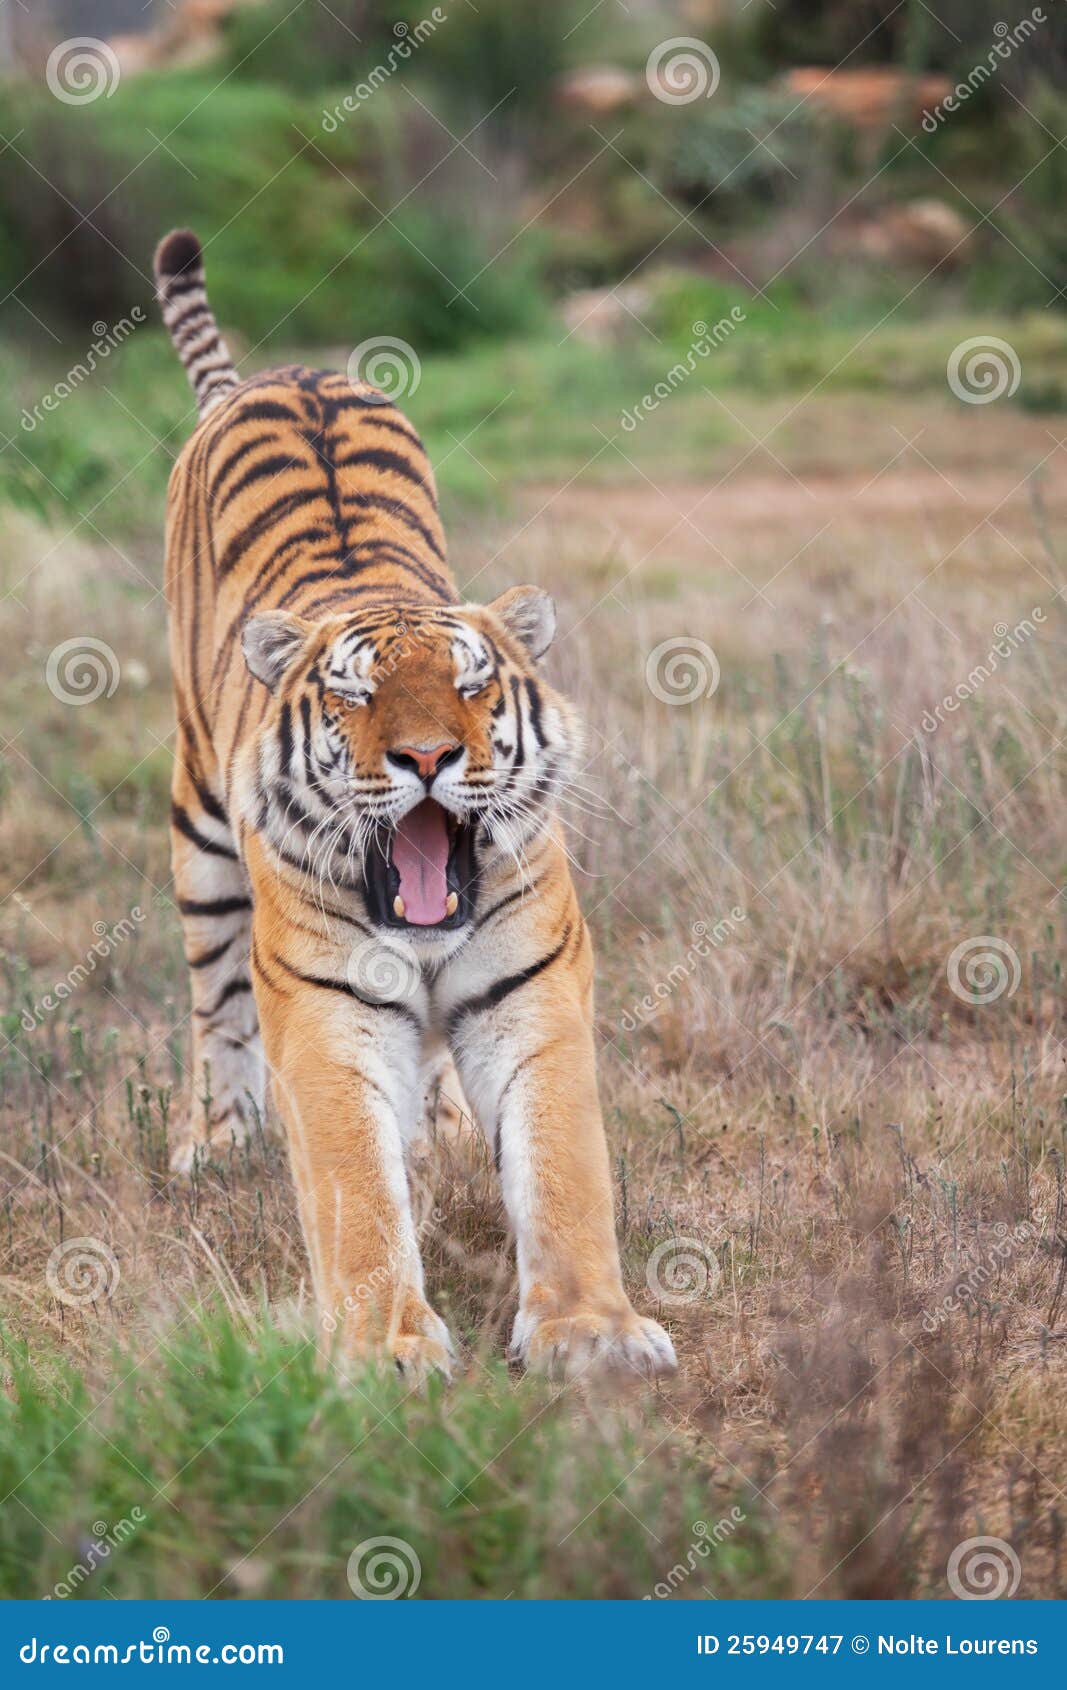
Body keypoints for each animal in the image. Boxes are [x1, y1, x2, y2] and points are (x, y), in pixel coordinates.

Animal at [154, 227, 676, 1383]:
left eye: (473, 684)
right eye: (355, 695)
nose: (428, 756)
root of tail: (275, 372)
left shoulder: (534, 997)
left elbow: (564, 1173)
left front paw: (592, 1333)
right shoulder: (324, 1017)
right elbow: (354, 1189)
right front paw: (385, 1352)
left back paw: (439, 1126)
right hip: (199, 832)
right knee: (216, 1006)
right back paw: (215, 1140)